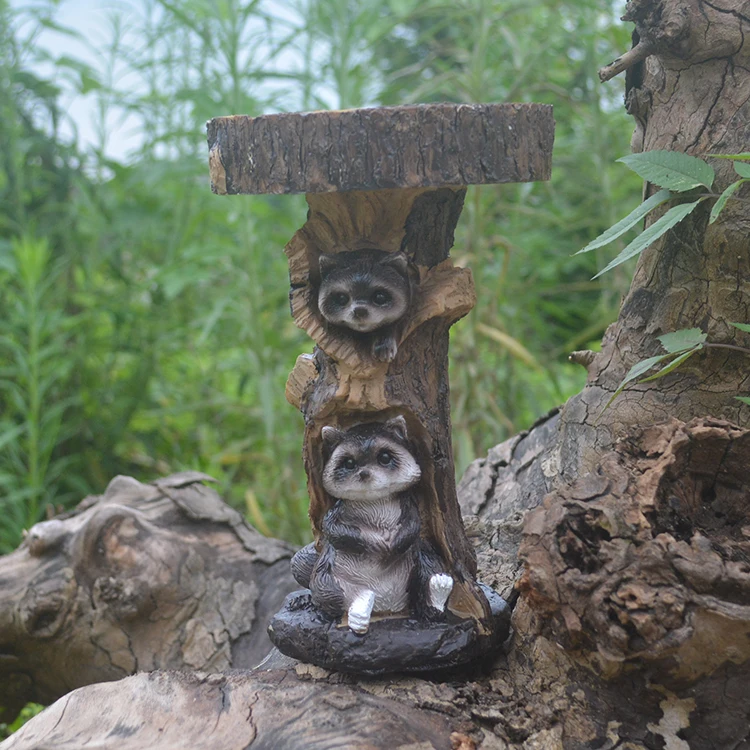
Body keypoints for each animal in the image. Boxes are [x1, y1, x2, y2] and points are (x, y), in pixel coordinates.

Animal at [291, 416, 453, 634]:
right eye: (349, 463)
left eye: (384, 457)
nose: (364, 474)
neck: (373, 500)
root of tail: (386, 605)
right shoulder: (337, 510)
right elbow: (333, 529)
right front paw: (371, 544)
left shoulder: (407, 504)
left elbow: (413, 526)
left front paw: (394, 544)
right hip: (328, 572)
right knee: (326, 590)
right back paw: (359, 609)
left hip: (417, 566)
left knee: (429, 570)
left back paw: (437, 591)